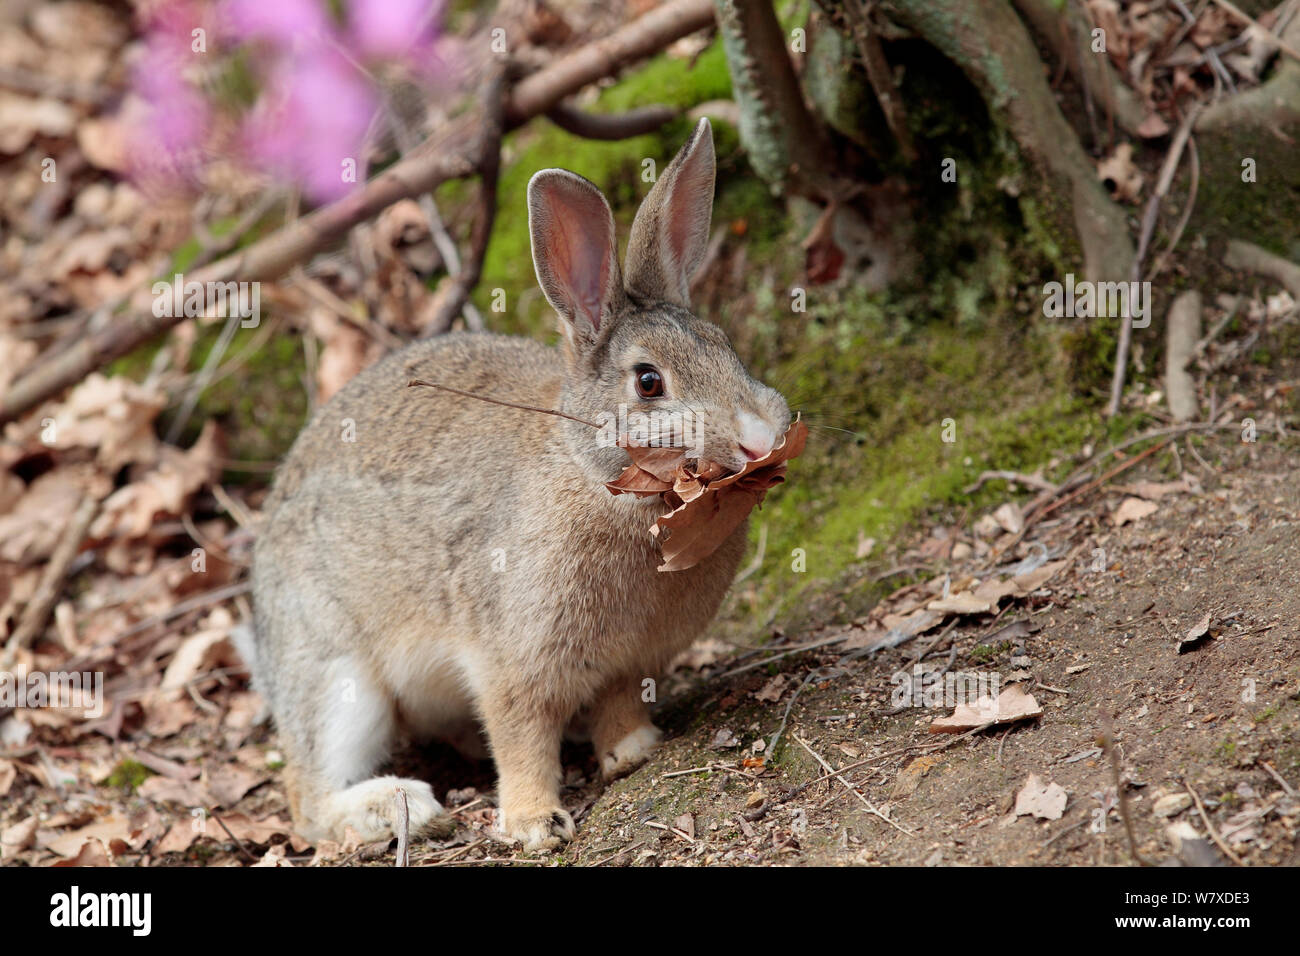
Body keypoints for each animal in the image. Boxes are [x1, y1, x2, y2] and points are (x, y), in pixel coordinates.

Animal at [249, 118, 791, 850]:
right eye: (649, 382)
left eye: (724, 345)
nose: (762, 435)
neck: (600, 481)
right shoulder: (511, 658)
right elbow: (520, 735)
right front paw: (535, 822)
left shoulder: (633, 661)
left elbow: (618, 703)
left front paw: (631, 751)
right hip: (336, 673)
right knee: (306, 798)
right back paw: (401, 805)